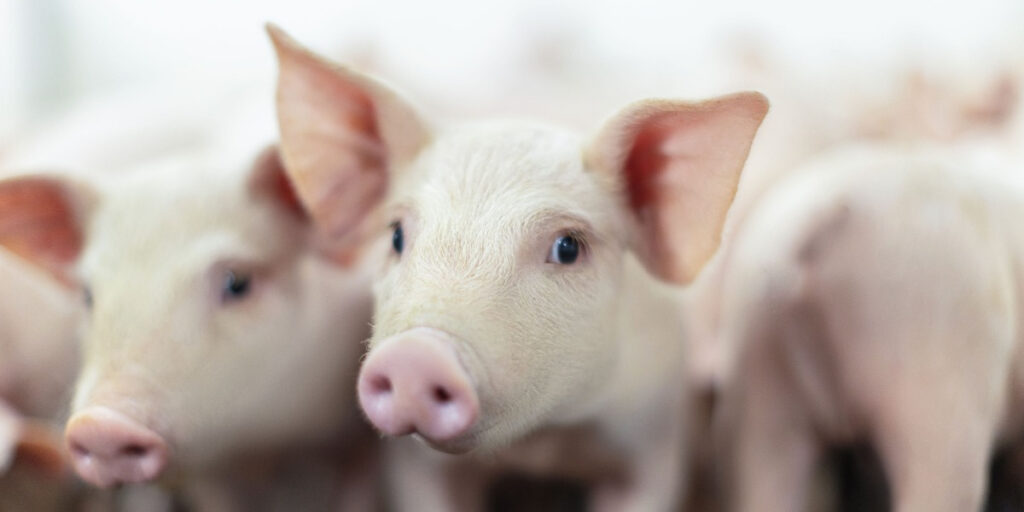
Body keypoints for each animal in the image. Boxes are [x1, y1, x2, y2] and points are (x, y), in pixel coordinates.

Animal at [266, 25, 767, 511]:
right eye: (396, 236)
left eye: (568, 247)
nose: (415, 356)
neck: (541, 442)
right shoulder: (415, 466)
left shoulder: (657, 440)